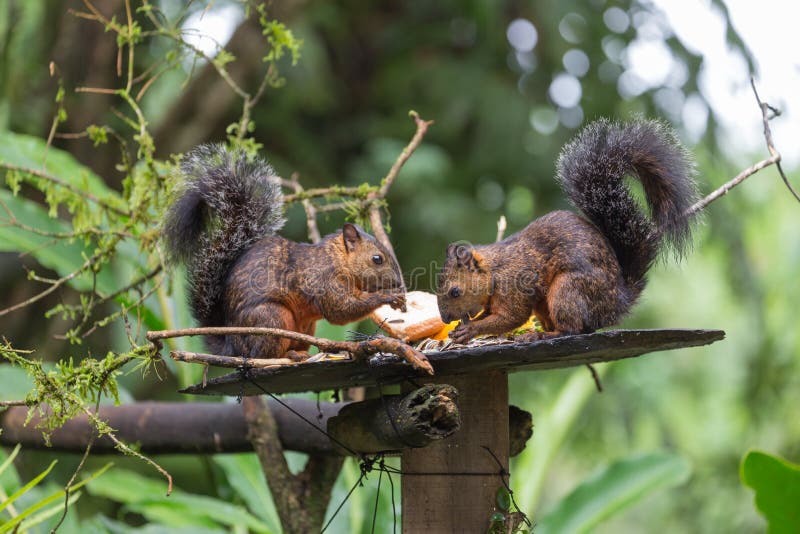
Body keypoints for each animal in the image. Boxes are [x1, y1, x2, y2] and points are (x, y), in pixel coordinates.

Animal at [163, 144, 407, 360]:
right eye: (377, 259)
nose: (398, 283)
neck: (338, 260)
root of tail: (232, 346)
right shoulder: (323, 279)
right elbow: (341, 309)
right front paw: (387, 296)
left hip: (307, 326)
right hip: (273, 318)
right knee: (263, 355)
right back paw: (289, 355)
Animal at [436, 118, 699, 344]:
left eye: (455, 291)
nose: (446, 319)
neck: (494, 268)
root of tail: (617, 302)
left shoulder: (515, 284)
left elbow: (511, 317)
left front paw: (470, 329)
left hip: (567, 289)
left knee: (572, 329)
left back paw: (542, 335)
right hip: (546, 302)